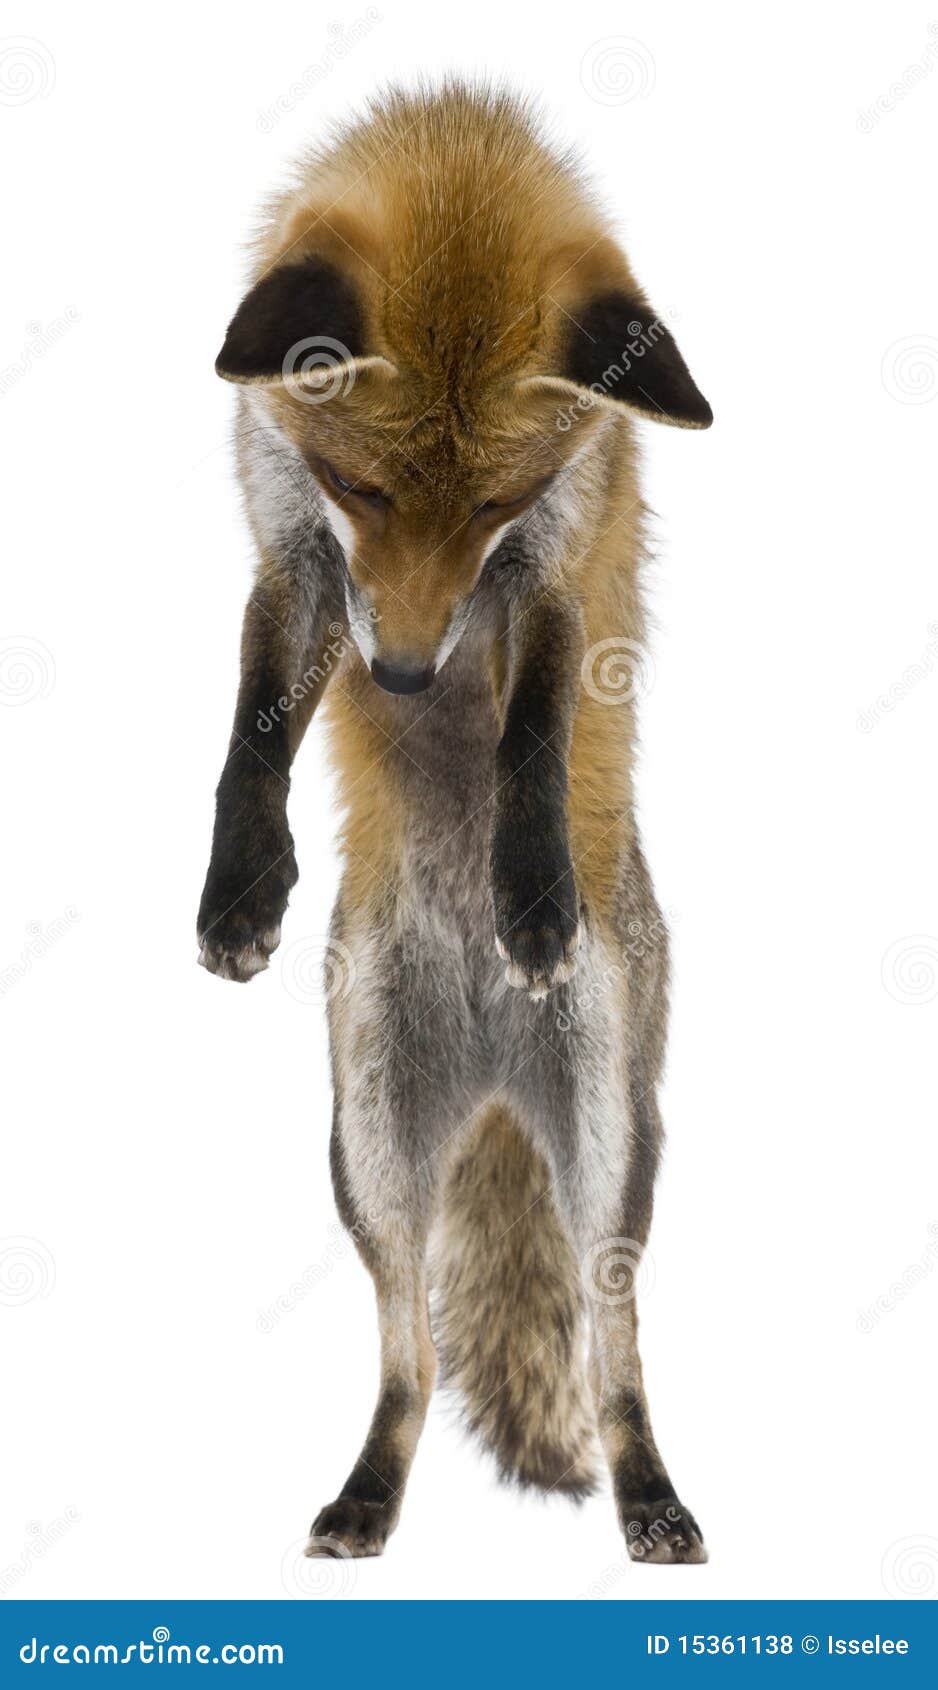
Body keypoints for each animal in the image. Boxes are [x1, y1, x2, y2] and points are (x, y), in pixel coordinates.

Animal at [198, 82, 713, 1564]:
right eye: (363, 489)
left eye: (491, 501)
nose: (408, 677)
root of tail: (491, 1079)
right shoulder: (294, 550)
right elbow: (253, 730)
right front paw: (240, 889)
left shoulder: (550, 570)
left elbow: (532, 737)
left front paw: (530, 897)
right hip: (370, 1163)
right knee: (410, 1358)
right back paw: (368, 1495)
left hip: (607, 1164)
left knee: (611, 1353)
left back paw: (651, 1498)